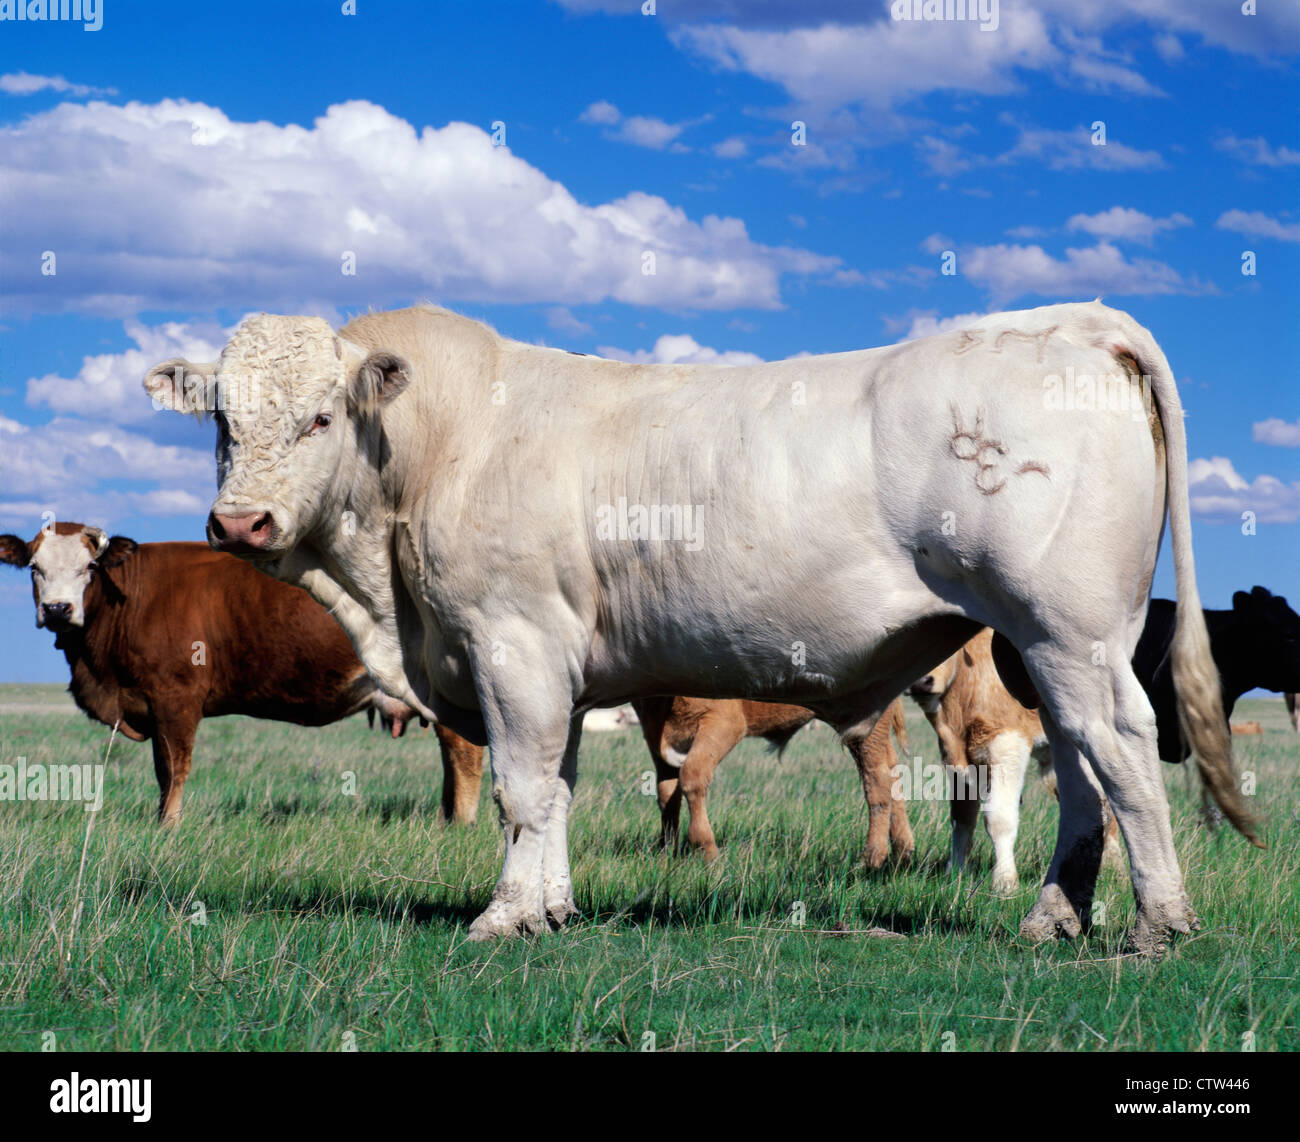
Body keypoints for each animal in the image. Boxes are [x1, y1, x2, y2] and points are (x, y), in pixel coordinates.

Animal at [0, 522, 478, 824]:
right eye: (35, 569)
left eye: (90, 567)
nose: (58, 609)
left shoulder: (175, 700)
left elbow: (173, 768)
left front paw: (168, 825)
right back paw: (445, 818)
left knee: (463, 754)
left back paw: (461, 823)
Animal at [632, 696, 912, 867]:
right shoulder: (655, 736)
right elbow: (666, 794)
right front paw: (666, 852)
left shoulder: (724, 722)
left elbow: (692, 776)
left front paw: (707, 851)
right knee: (890, 769)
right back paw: (902, 851)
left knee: (876, 778)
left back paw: (872, 857)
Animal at [909, 628, 1120, 894]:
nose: (921, 681)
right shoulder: (955, 762)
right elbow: (962, 818)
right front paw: (955, 872)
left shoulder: (1008, 745)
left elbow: (999, 818)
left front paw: (1004, 881)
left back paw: (1113, 868)